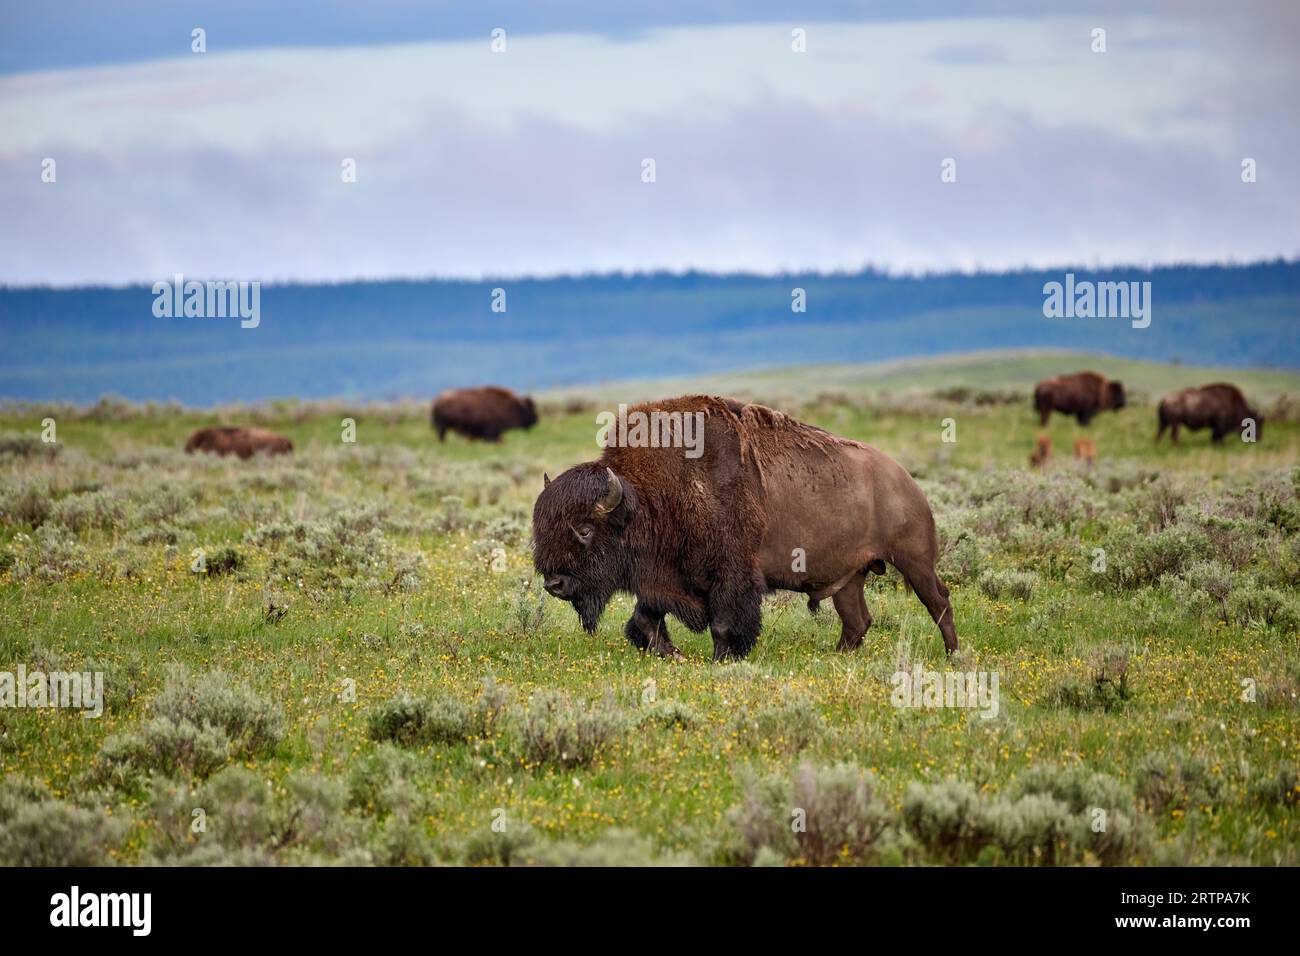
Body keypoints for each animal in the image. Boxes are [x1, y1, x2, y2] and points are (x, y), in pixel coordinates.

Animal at [532, 396, 958, 660]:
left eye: (585, 529)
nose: (554, 584)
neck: (646, 497)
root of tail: (906, 481)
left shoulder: (730, 576)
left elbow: (723, 624)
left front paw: (720, 660)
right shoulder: (660, 579)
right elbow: (645, 620)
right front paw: (674, 654)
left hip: (914, 561)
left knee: (938, 602)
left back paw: (953, 656)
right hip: (849, 578)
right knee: (857, 621)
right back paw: (837, 657)